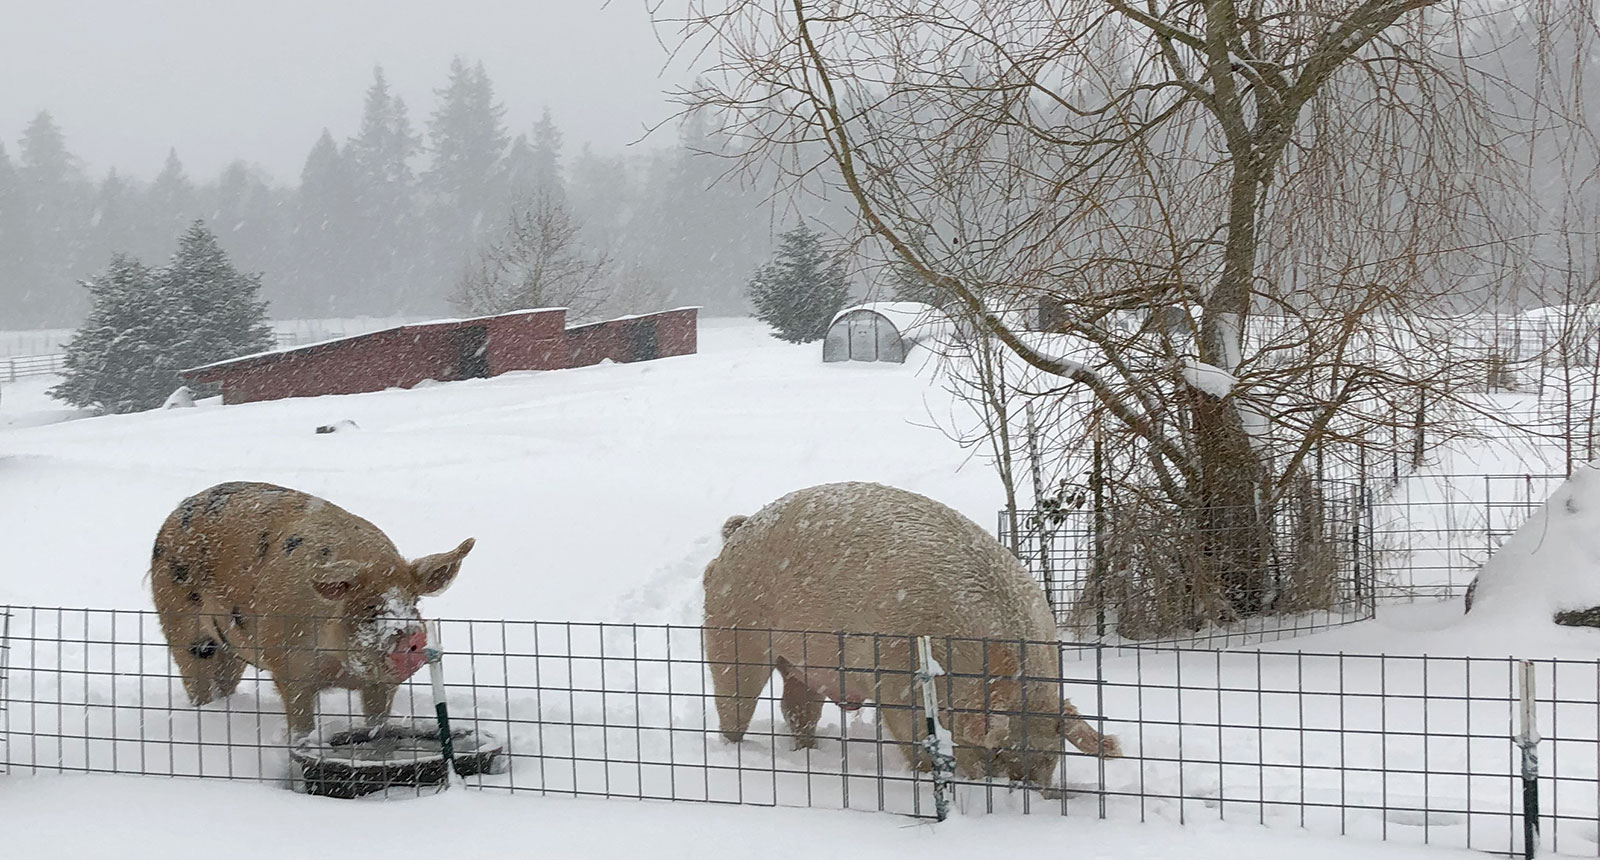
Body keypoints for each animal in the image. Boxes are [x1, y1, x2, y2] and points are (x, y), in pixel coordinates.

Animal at [149, 481, 475, 738]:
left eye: (413, 602)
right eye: (368, 605)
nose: (412, 635)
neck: (337, 667)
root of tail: (177, 511)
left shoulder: (381, 684)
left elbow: (377, 720)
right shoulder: (288, 668)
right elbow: (301, 720)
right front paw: (301, 741)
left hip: (232, 645)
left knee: (225, 678)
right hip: (180, 624)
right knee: (195, 677)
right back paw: (206, 712)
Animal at [703, 481, 1120, 786]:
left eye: (1051, 757)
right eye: (997, 752)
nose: (1020, 792)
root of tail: (738, 532)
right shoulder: (898, 686)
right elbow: (917, 742)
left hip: (801, 663)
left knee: (796, 706)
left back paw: (809, 751)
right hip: (732, 633)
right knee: (734, 702)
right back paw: (736, 750)